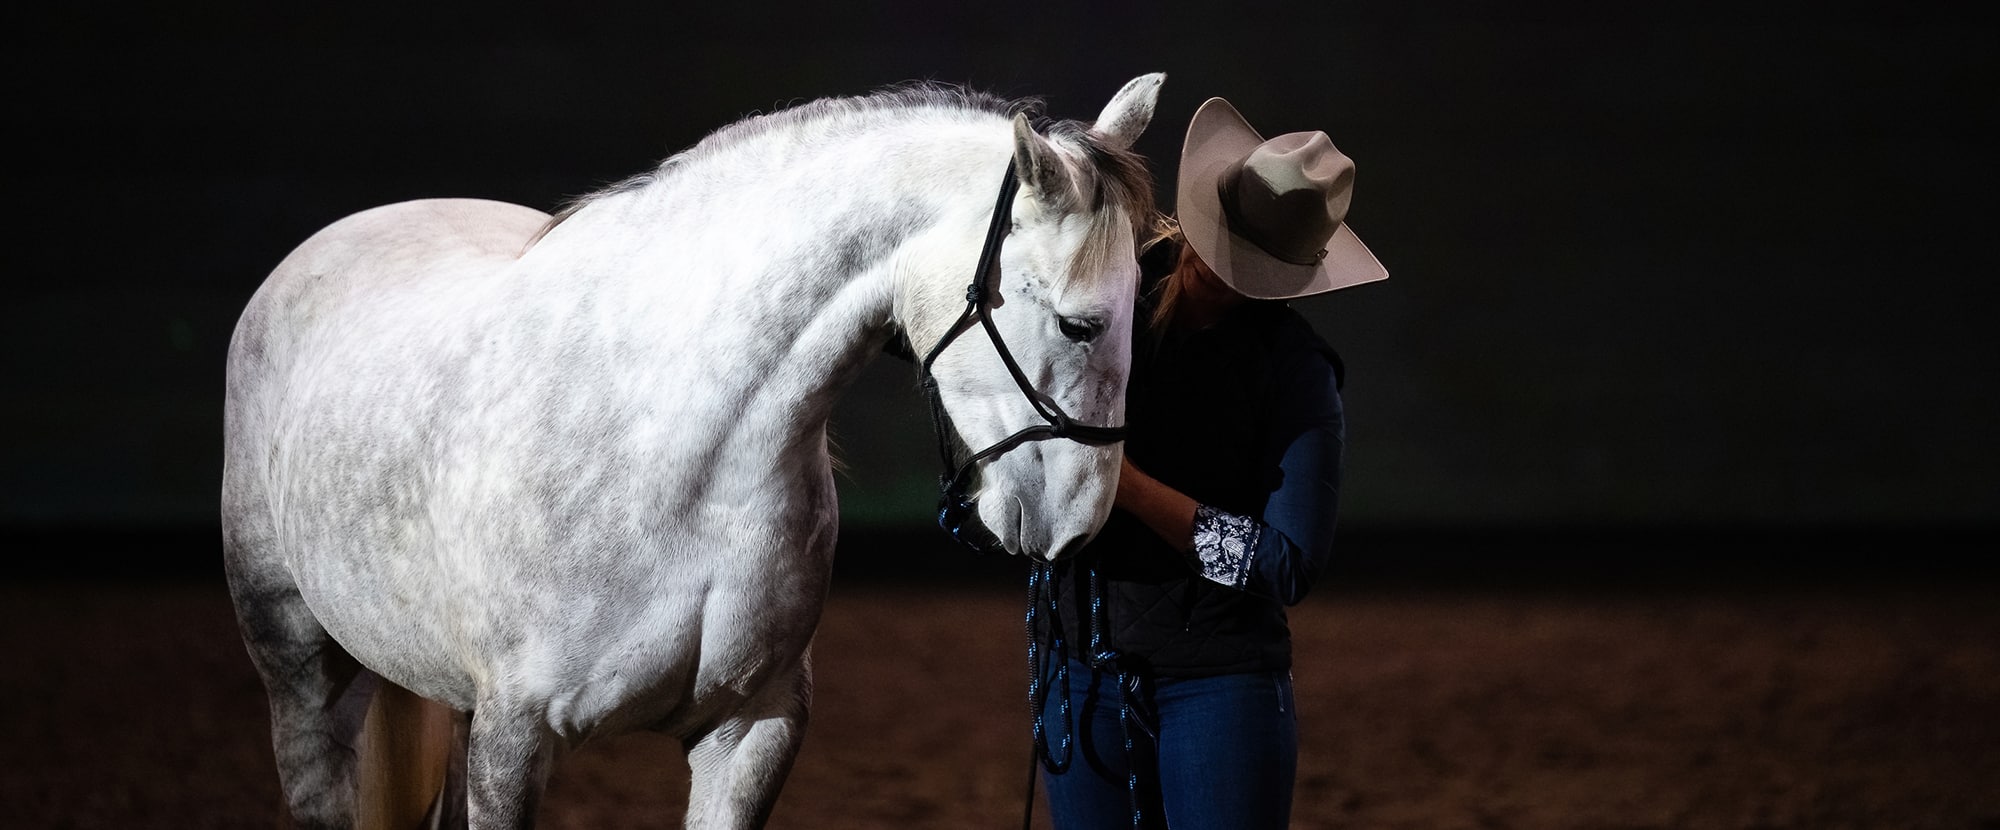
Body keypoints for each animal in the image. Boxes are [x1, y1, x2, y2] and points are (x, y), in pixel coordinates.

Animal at [220, 72, 1164, 829]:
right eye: (1080, 323)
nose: (1076, 526)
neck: (678, 462)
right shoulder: (513, 738)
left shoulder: (749, 731)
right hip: (305, 677)